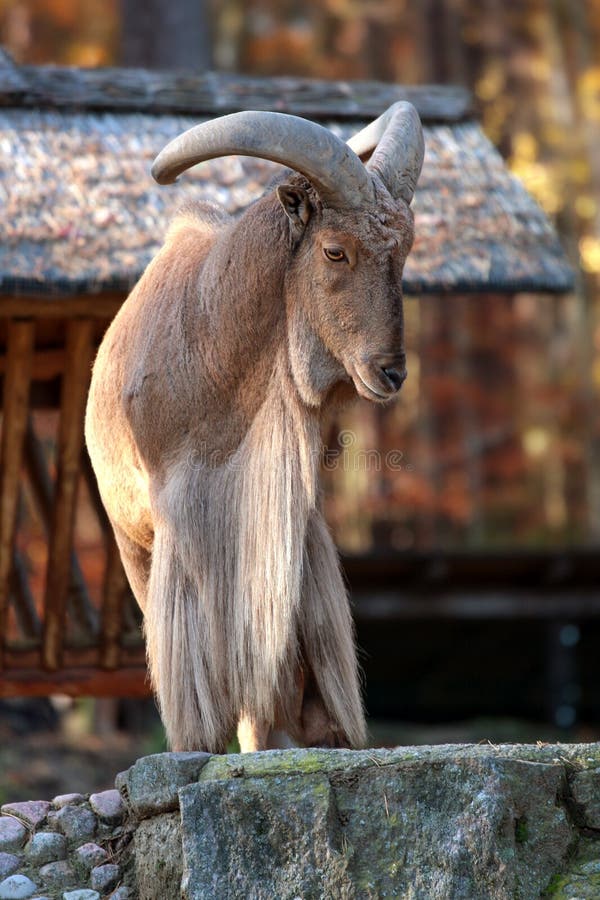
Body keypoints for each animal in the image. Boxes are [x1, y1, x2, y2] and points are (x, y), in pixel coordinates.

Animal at [85, 103, 424, 753]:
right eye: (334, 250)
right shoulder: (177, 531)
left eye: (404, 251)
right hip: (131, 542)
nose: (390, 372)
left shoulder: (286, 533)